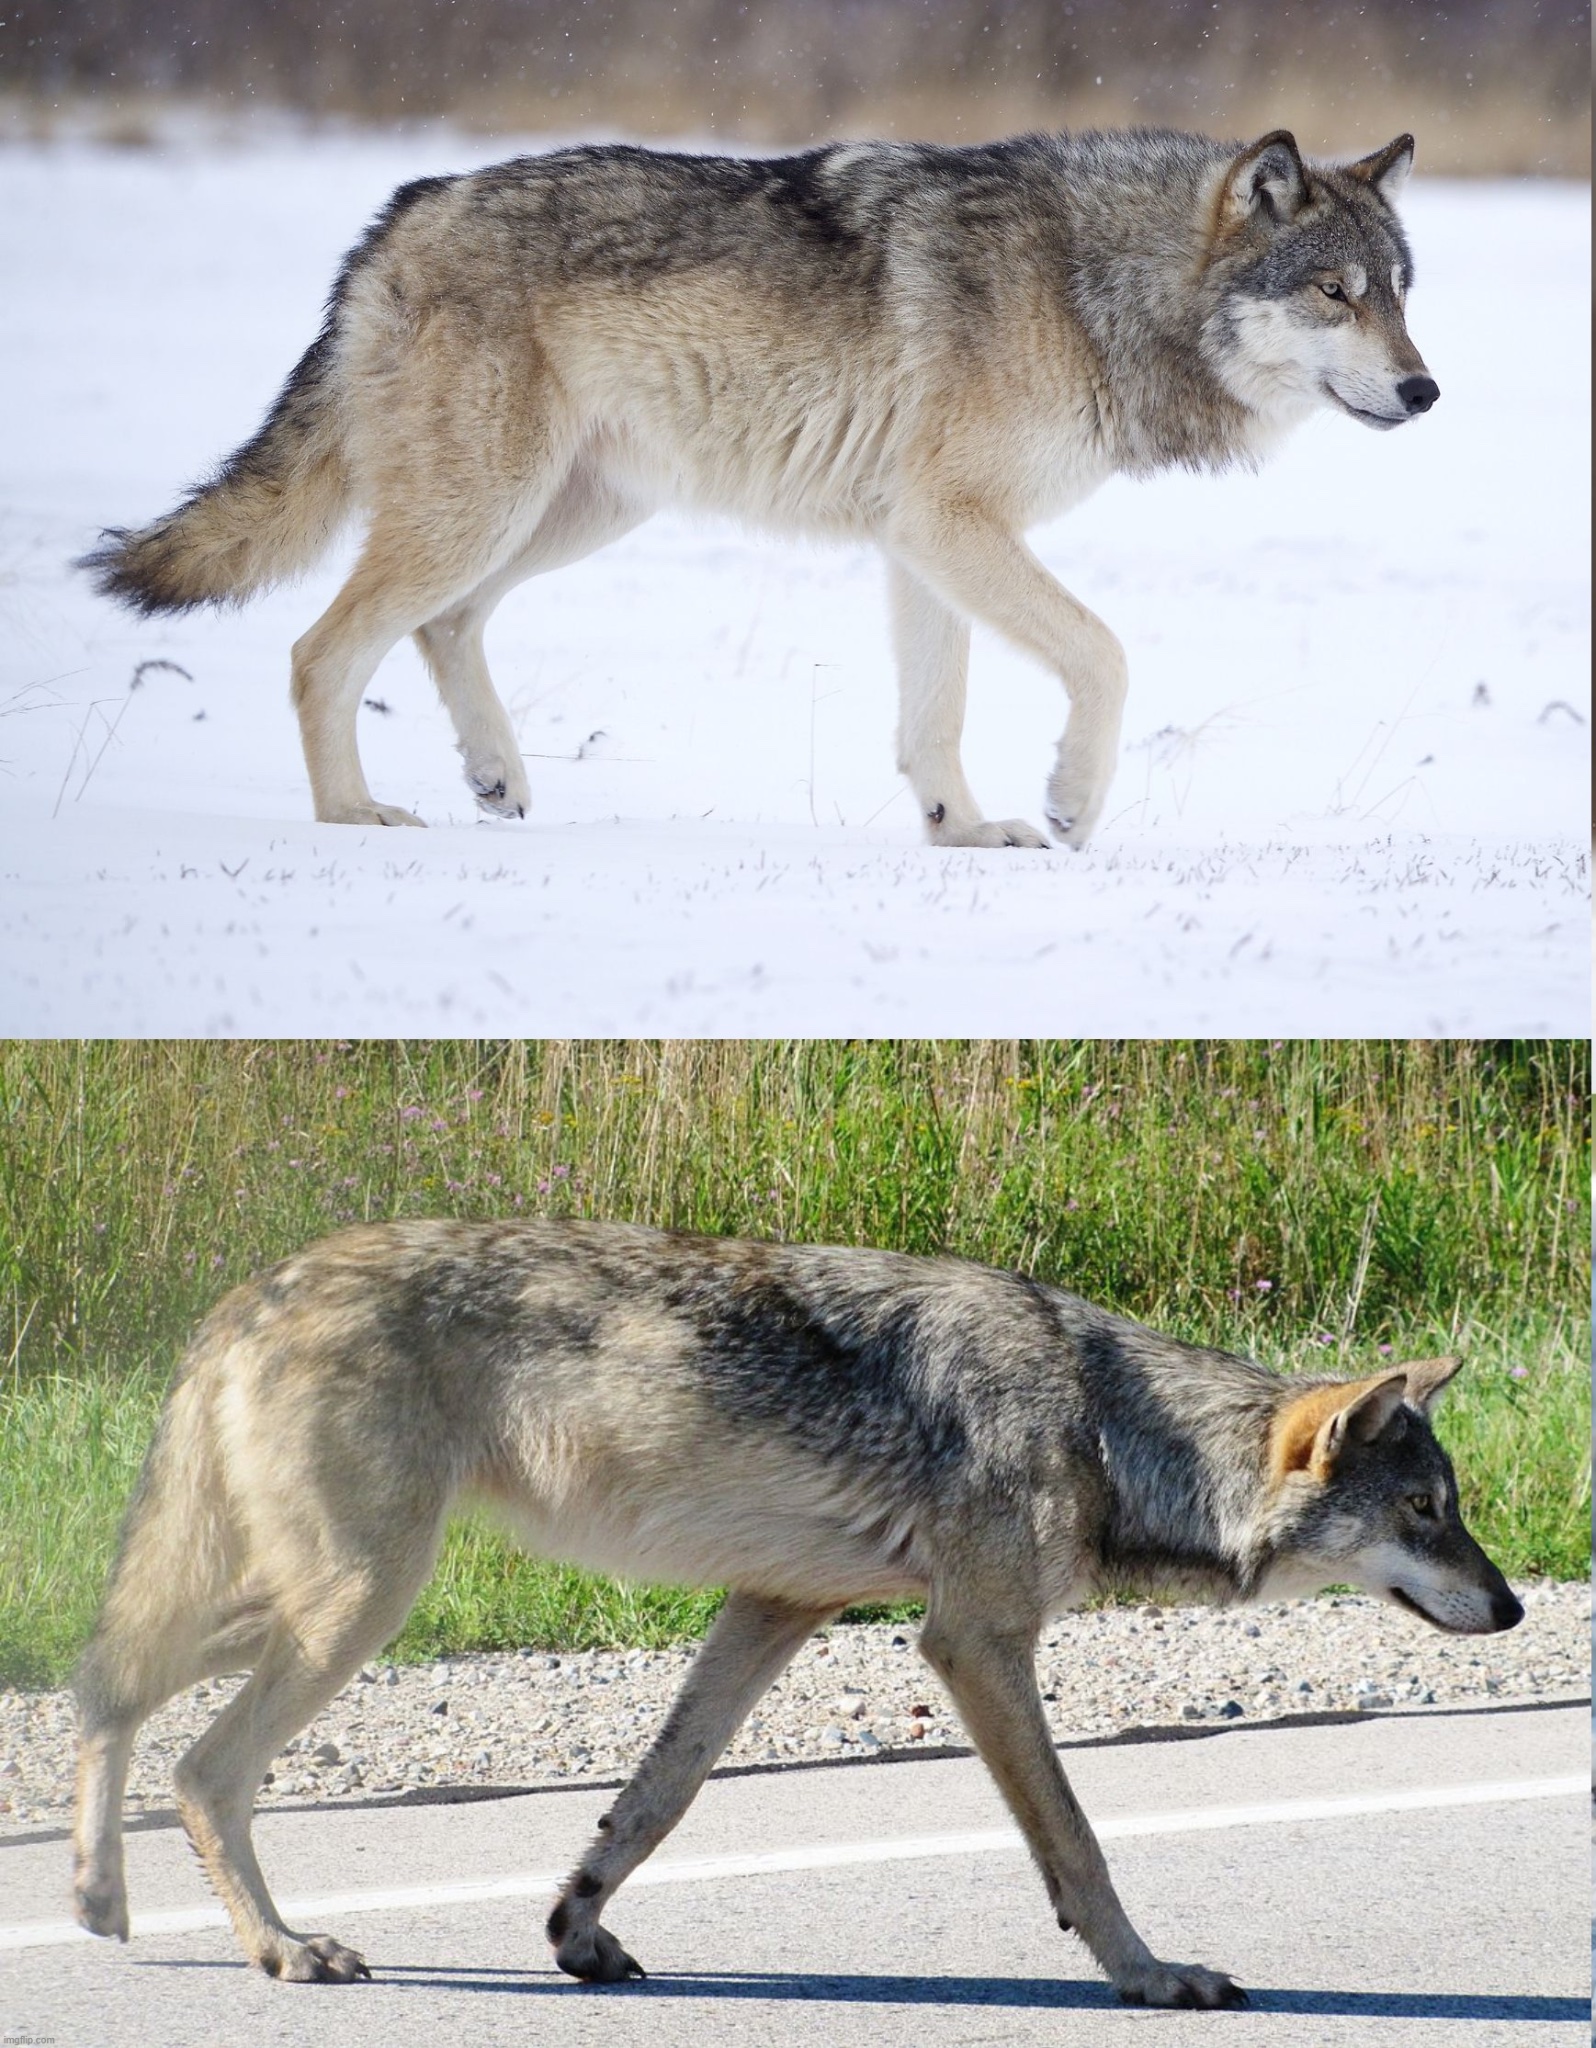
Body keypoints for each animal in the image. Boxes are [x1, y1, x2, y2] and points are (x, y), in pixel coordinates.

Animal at [72, 1220, 1518, 2007]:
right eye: (1427, 1511)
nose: (1509, 1607)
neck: (1108, 1424)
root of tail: (254, 1286)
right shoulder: (975, 1643)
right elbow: (1079, 1845)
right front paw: (1153, 1978)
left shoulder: (773, 1608)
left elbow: (653, 1801)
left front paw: (577, 1931)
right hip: (361, 1599)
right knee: (196, 1762)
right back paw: (277, 1948)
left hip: (316, 1592)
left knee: (103, 1681)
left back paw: (97, 1896)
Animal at [78, 127, 1435, 843]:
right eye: (1334, 293)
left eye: (1402, 291)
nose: (1427, 392)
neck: (1094, 283)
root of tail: (405, 205)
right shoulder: (952, 523)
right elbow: (1103, 653)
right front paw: (1067, 801)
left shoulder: (922, 540)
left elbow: (933, 719)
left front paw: (965, 832)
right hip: (486, 510)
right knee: (321, 648)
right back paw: (353, 817)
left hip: (568, 513)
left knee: (442, 625)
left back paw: (495, 780)